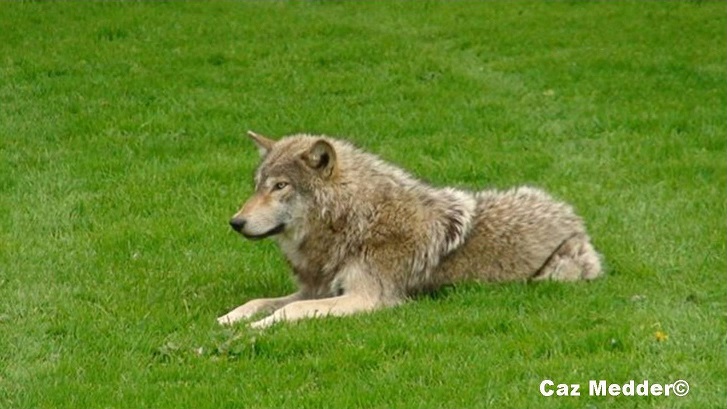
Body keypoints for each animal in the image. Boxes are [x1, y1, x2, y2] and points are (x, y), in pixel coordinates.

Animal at [218, 131, 602, 328]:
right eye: (258, 186)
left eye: (280, 186)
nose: (235, 222)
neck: (357, 219)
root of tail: (571, 215)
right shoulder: (315, 289)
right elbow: (258, 302)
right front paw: (227, 318)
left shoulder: (366, 298)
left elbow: (288, 312)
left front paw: (255, 329)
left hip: (558, 272)